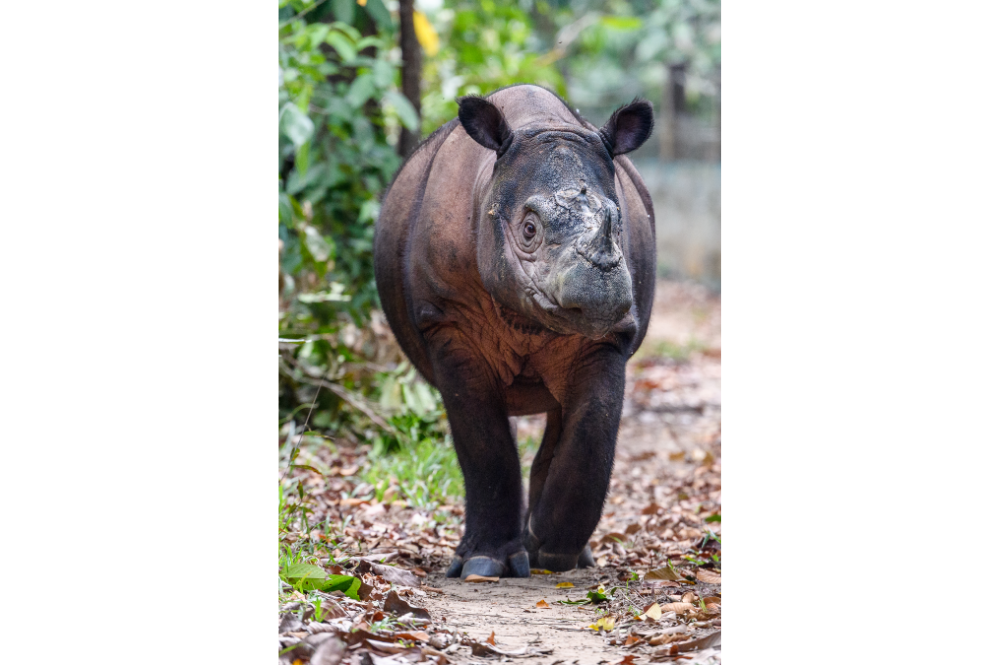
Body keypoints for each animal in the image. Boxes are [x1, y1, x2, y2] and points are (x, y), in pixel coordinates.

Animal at [375, 85, 656, 579]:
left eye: (618, 223)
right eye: (528, 229)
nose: (600, 295)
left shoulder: (608, 336)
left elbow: (593, 428)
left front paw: (553, 553)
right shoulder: (448, 320)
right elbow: (483, 441)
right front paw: (484, 564)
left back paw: (557, 552)